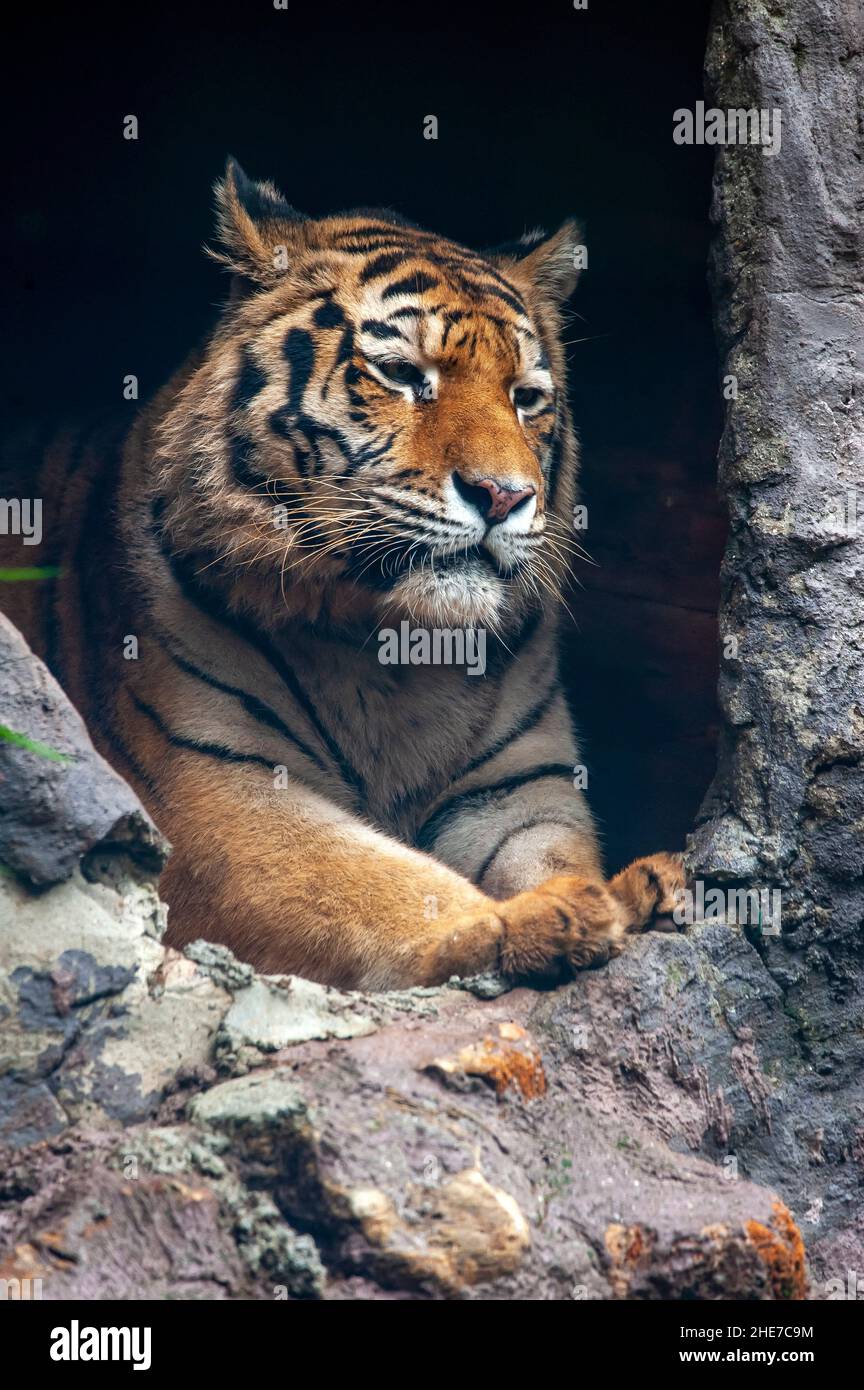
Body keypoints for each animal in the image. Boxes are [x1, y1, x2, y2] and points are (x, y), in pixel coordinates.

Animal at [0, 158, 685, 990]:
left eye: (526, 398)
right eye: (401, 373)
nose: (503, 495)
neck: (394, 651)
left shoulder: (515, 789)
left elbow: (554, 852)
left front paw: (636, 889)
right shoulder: (214, 788)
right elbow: (379, 882)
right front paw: (548, 918)